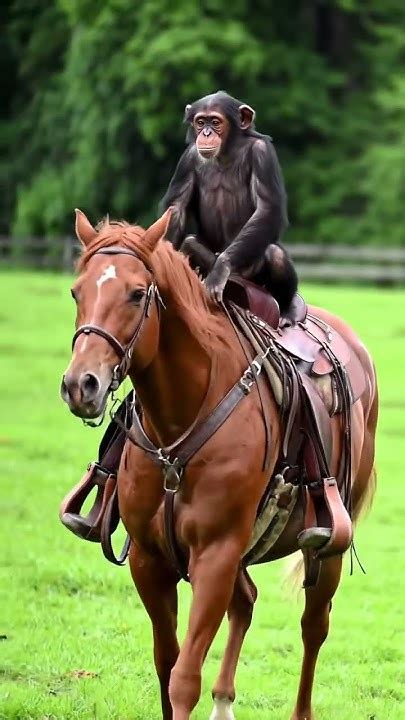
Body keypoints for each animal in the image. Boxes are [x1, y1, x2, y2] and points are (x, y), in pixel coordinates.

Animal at [60, 208, 378, 720]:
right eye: (76, 291)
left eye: (136, 293)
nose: (80, 385)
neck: (180, 421)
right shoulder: (150, 559)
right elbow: (166, 664)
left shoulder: (216, 554)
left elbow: (184, 678)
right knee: (246, 602)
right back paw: (224, 701)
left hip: (325, 548)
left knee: (314, 627)